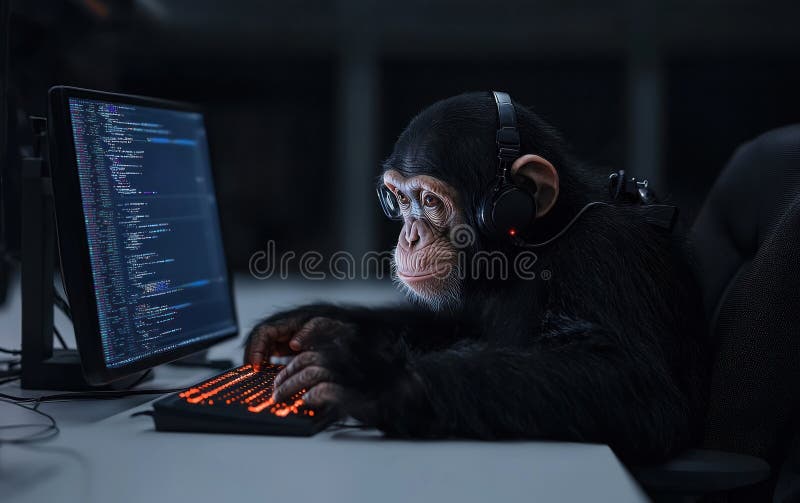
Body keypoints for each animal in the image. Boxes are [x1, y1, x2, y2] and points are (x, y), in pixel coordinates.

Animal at [244, 91, 708, 464]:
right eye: (398, 199)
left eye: (430, 201)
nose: (409, 235)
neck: (542, 238)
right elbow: (454, 323)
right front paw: (313, 324)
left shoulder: (605, 255)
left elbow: (637, 387)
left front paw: (373, 380)